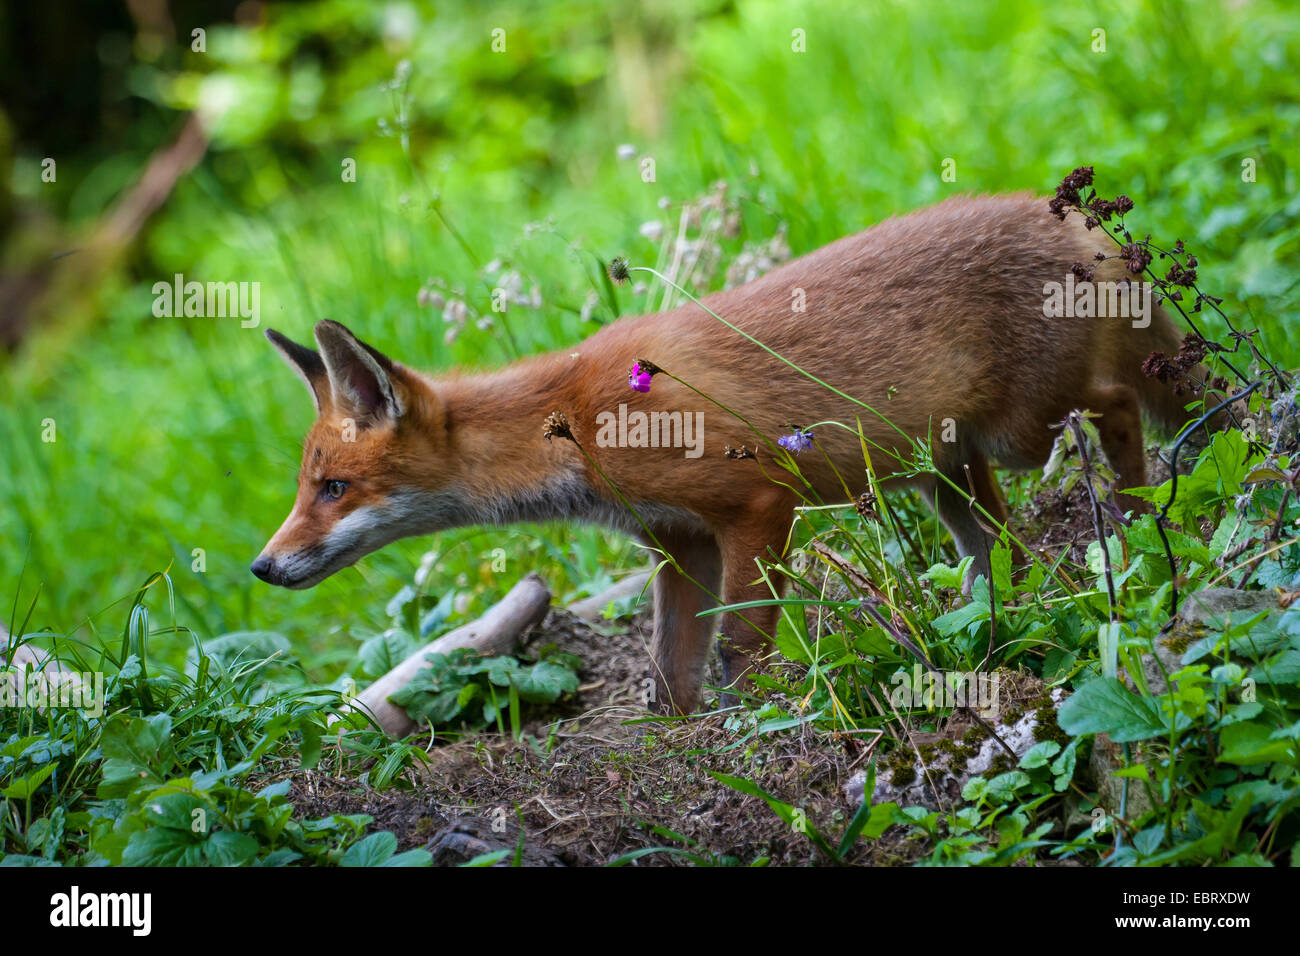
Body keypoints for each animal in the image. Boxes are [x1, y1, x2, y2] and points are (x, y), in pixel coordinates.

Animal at [252, 193, 1204, 715]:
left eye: (333, 488)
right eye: (305, 489)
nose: (263, 567)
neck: (573, 425)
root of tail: (1068, 213)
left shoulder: (756, 506)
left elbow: (740, 649)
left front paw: (757, 722)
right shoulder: (681, 546)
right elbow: (671, 676)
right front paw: (684, 745)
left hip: (1024, 433)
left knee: (1124, 409)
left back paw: (1139, 521)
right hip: (948, 470)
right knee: (998, 555)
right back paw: (989, 625)